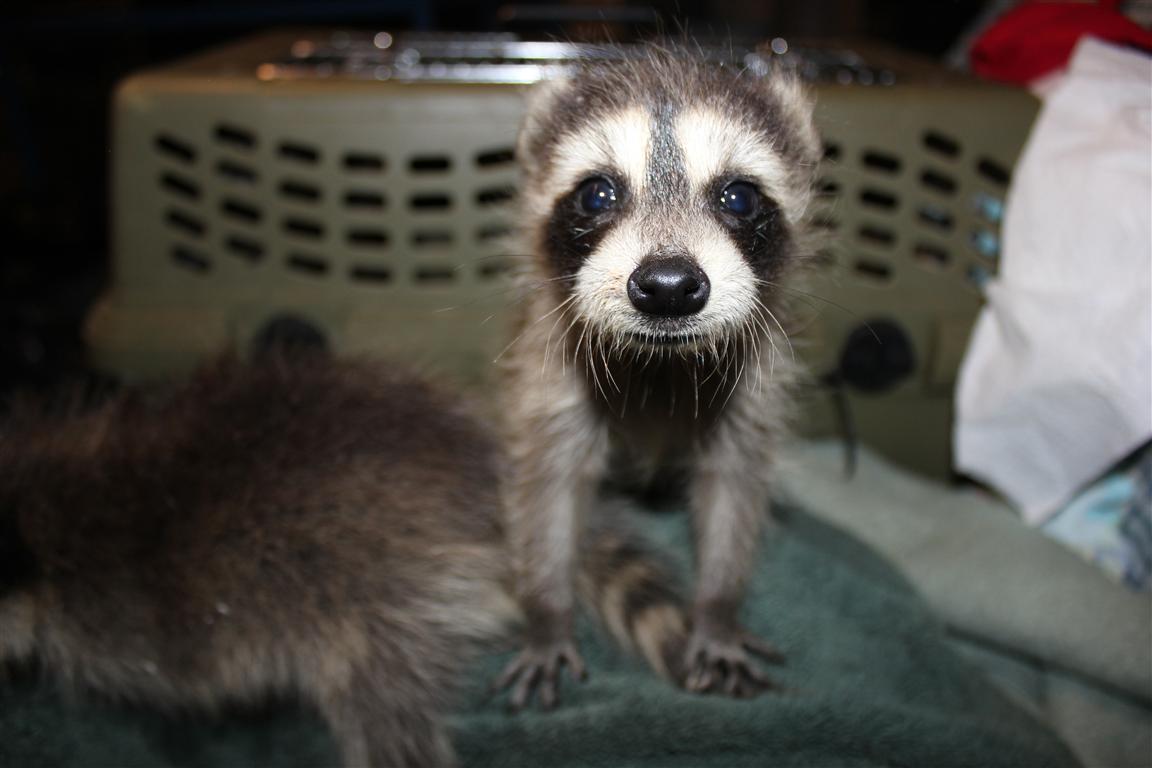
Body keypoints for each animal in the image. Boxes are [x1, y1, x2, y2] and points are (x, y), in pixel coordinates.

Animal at [496, 48, 821, 705]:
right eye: (597, 194)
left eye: (738, 197)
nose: (669, 285)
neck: (663, 361)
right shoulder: (549, 382)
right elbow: (546, 490)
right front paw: (546, 613)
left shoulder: (754, 391)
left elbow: (733, 490)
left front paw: (717, 611)